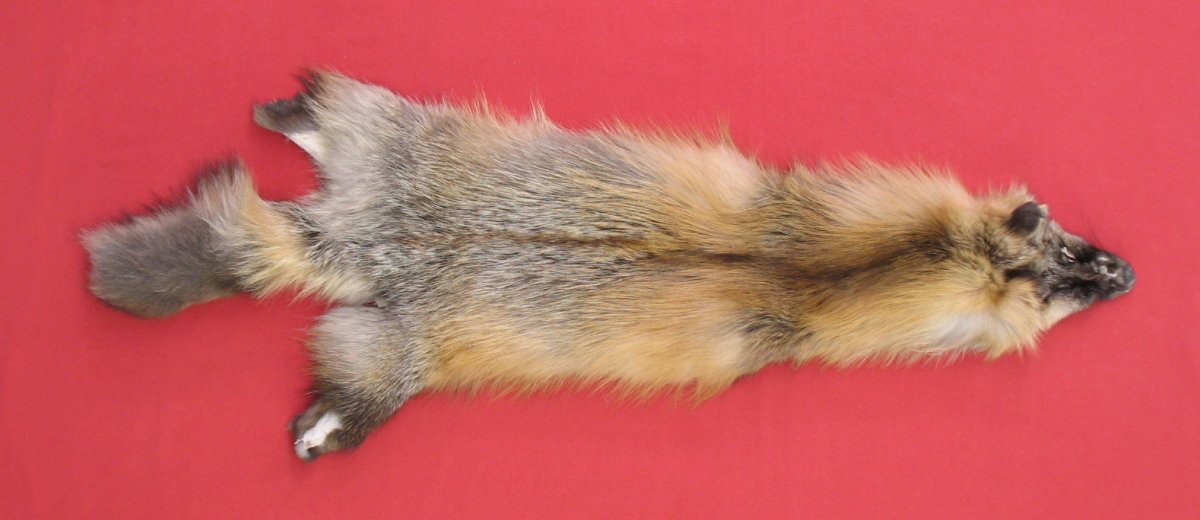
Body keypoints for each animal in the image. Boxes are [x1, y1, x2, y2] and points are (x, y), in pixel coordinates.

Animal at [82, 71, 1135, 460]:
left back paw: (285, 113)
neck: (822, 263)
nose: (1126, 275)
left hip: (391, 141)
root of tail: (360, 237)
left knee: (323, 114)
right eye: (1069, 269)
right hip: (400, 355)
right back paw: (321, 432)